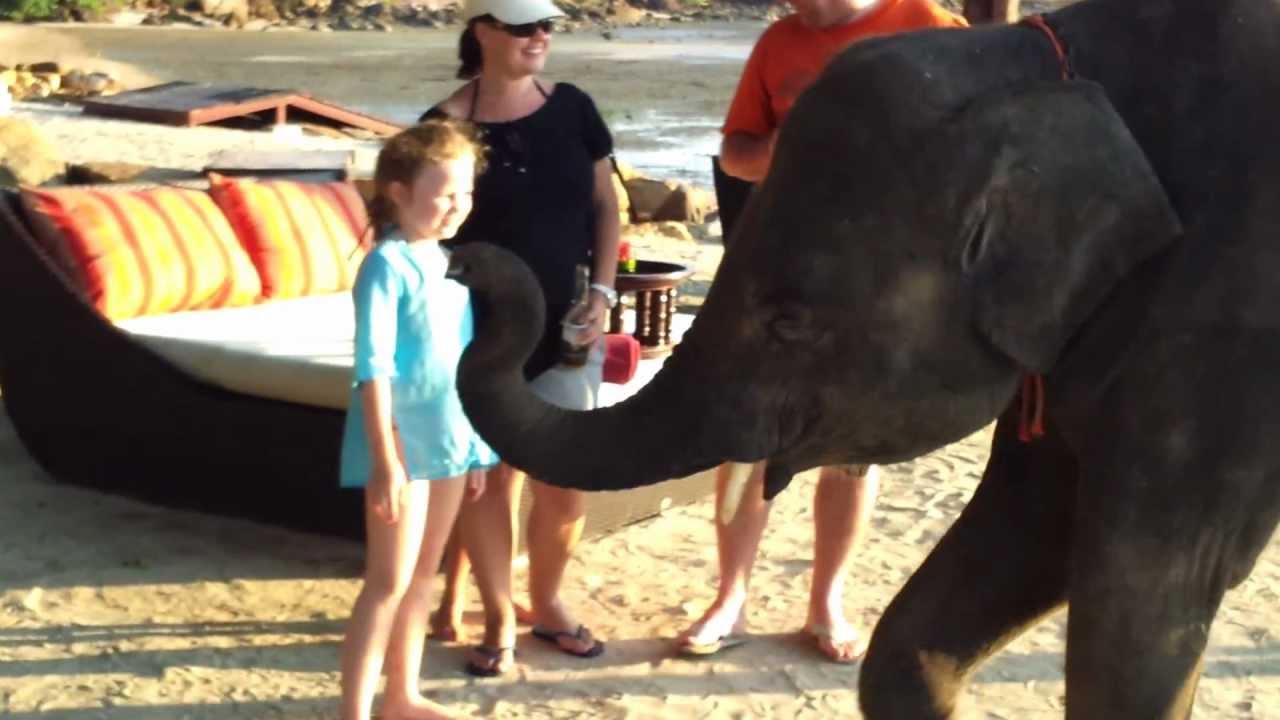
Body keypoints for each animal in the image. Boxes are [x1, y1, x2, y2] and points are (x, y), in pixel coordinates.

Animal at [443, 0, 1280, 716]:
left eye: (788, 320)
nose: (466, 258)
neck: (1050, 60)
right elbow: (1026, 534)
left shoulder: (1226, 322)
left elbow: (1141, 589)